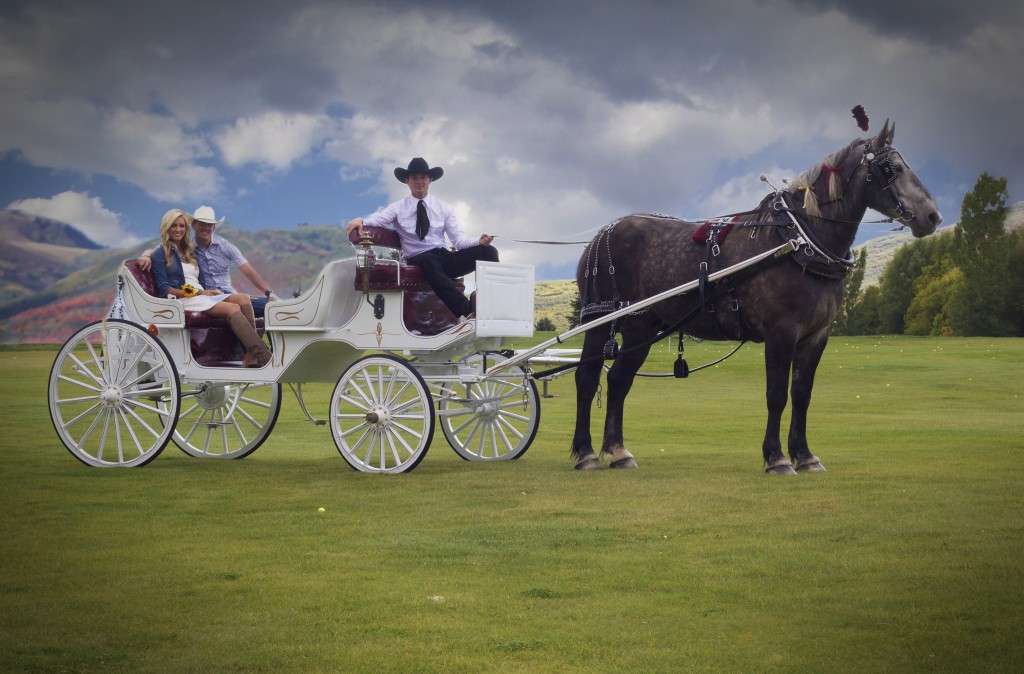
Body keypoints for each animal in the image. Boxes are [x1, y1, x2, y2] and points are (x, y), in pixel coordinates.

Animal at [571, 120, 941, 474]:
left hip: (642, 327)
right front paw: (776, 458)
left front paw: (804, 455)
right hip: (599, 321)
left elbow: (801, 395)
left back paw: (618, 452)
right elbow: (776, 395)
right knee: (587, 379)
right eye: (891, 168)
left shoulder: (816, 336)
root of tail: (602, 234)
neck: (799, 242)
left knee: (618, 381)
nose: (932, 216)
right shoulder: (781, 332)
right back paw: (585, 453)